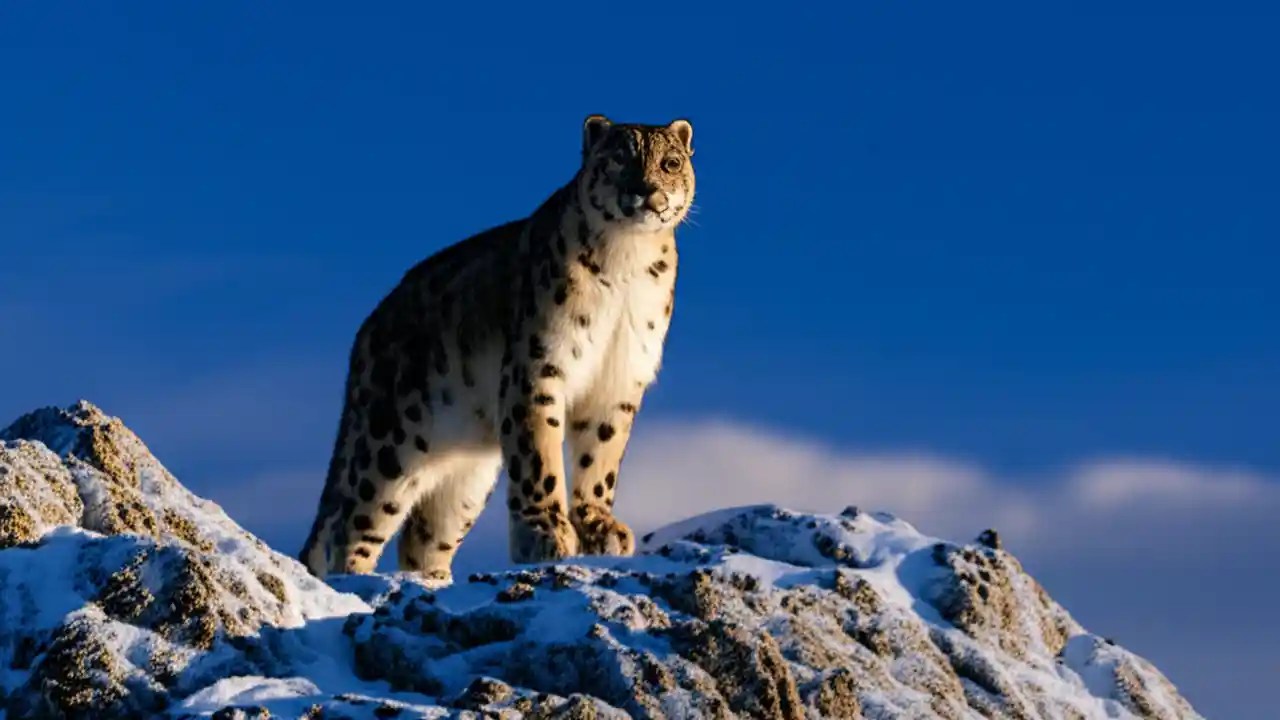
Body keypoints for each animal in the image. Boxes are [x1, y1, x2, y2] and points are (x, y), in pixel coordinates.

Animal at [299, 115, 695, 582]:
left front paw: (599, 527)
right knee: (352, 522)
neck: (627, 258)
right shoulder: (539, 366)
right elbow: (540, 457)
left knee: (424, 535)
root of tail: (366, 333)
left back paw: (433, 581)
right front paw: (546, 534)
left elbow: (601, 459)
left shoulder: (618, 380)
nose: (647, 190)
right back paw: (355, 583)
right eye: (619, 158)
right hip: (389, 439)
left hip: (467, 473)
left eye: (670, 163)